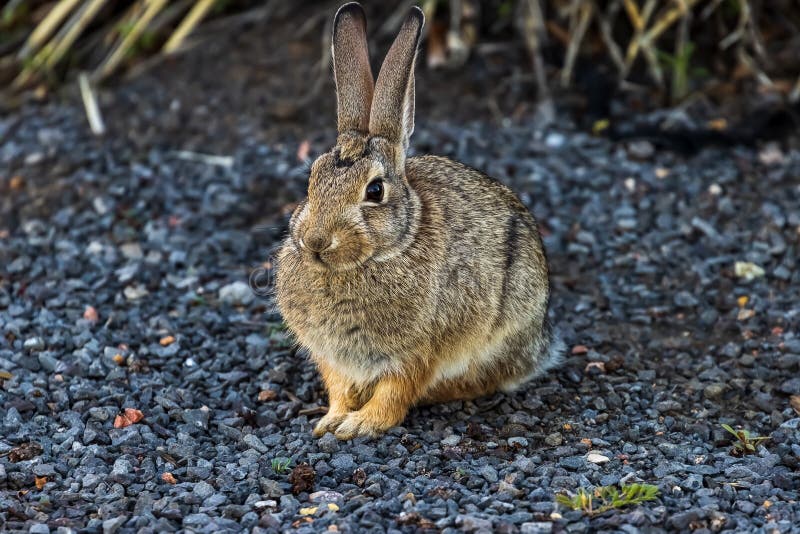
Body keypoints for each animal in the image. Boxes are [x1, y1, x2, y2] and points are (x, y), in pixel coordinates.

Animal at [275, 2, 563, 440]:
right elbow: (339, 388)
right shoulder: (332, 357)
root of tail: (540, 345)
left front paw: (361, 425)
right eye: (312, 180)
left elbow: (396, 393)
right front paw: (330, 420)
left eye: (375, 191)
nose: (316, 242)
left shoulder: (418, 353)